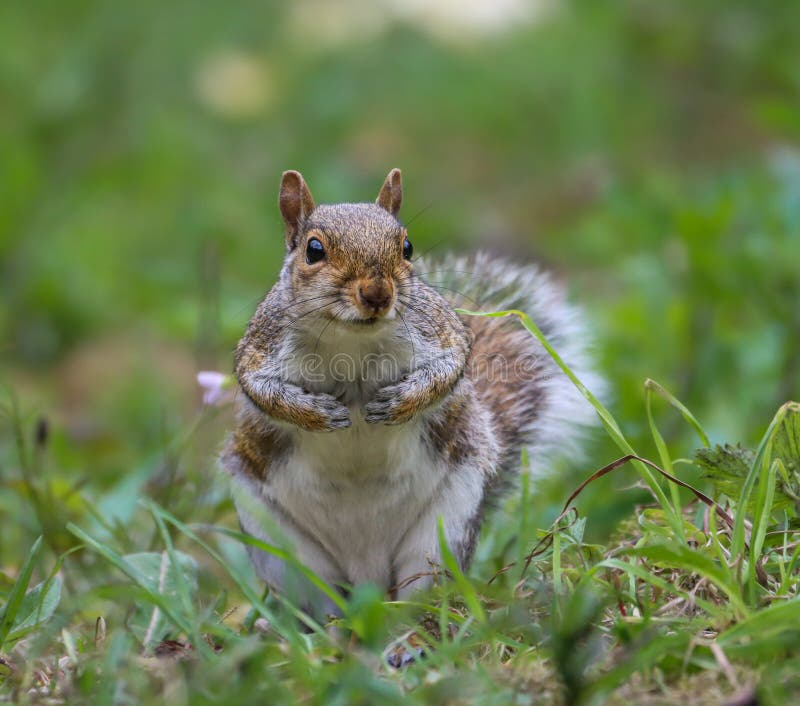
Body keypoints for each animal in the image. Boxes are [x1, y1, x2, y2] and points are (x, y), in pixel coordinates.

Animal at [222, 168, 603, 618]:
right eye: (313, 250)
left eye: (407, 246)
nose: (377, 294)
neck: (351, 339)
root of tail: (366, 570)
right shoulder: (261, 344)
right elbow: (262, 389)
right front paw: (317, 413)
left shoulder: (440, 329)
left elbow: (451, 365)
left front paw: (399, 403)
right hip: (280, 544)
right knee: (318, 600)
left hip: (444, 528)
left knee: (421, 586)